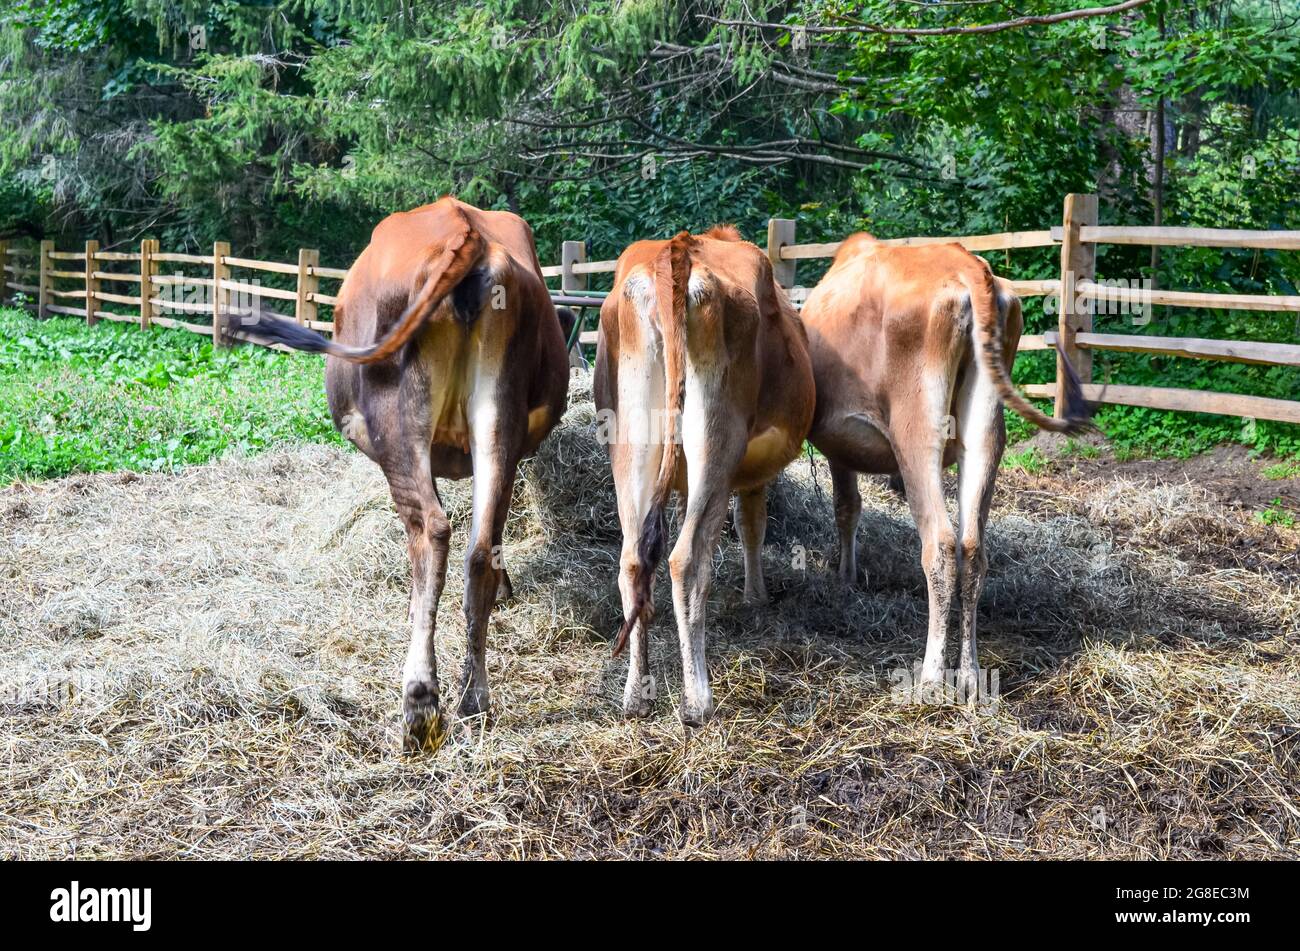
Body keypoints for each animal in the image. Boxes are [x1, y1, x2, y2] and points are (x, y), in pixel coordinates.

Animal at [229, 197, 573, 752]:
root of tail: (464, 227)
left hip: (398, 417)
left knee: (431, 530)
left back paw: (420, 702)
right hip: (499, 413)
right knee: (480, 546)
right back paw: (474, 698)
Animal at [593, 226, 816, 725]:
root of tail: (677, 249)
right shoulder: (750, 475)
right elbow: (751, 524)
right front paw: (756, 595)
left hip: (629, 438)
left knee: (633, 559)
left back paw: (637, 694)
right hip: (718, 438)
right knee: (687, 559)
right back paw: (697, 700)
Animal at [801, 234, 1092, 702]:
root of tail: (965, 263)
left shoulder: (838, 445)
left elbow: (846, 507)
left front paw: (845, 576)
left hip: (917, 429)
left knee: (939, 544)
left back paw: (932, 678)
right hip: (986, 431)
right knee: (972, 548)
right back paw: (970, 676)